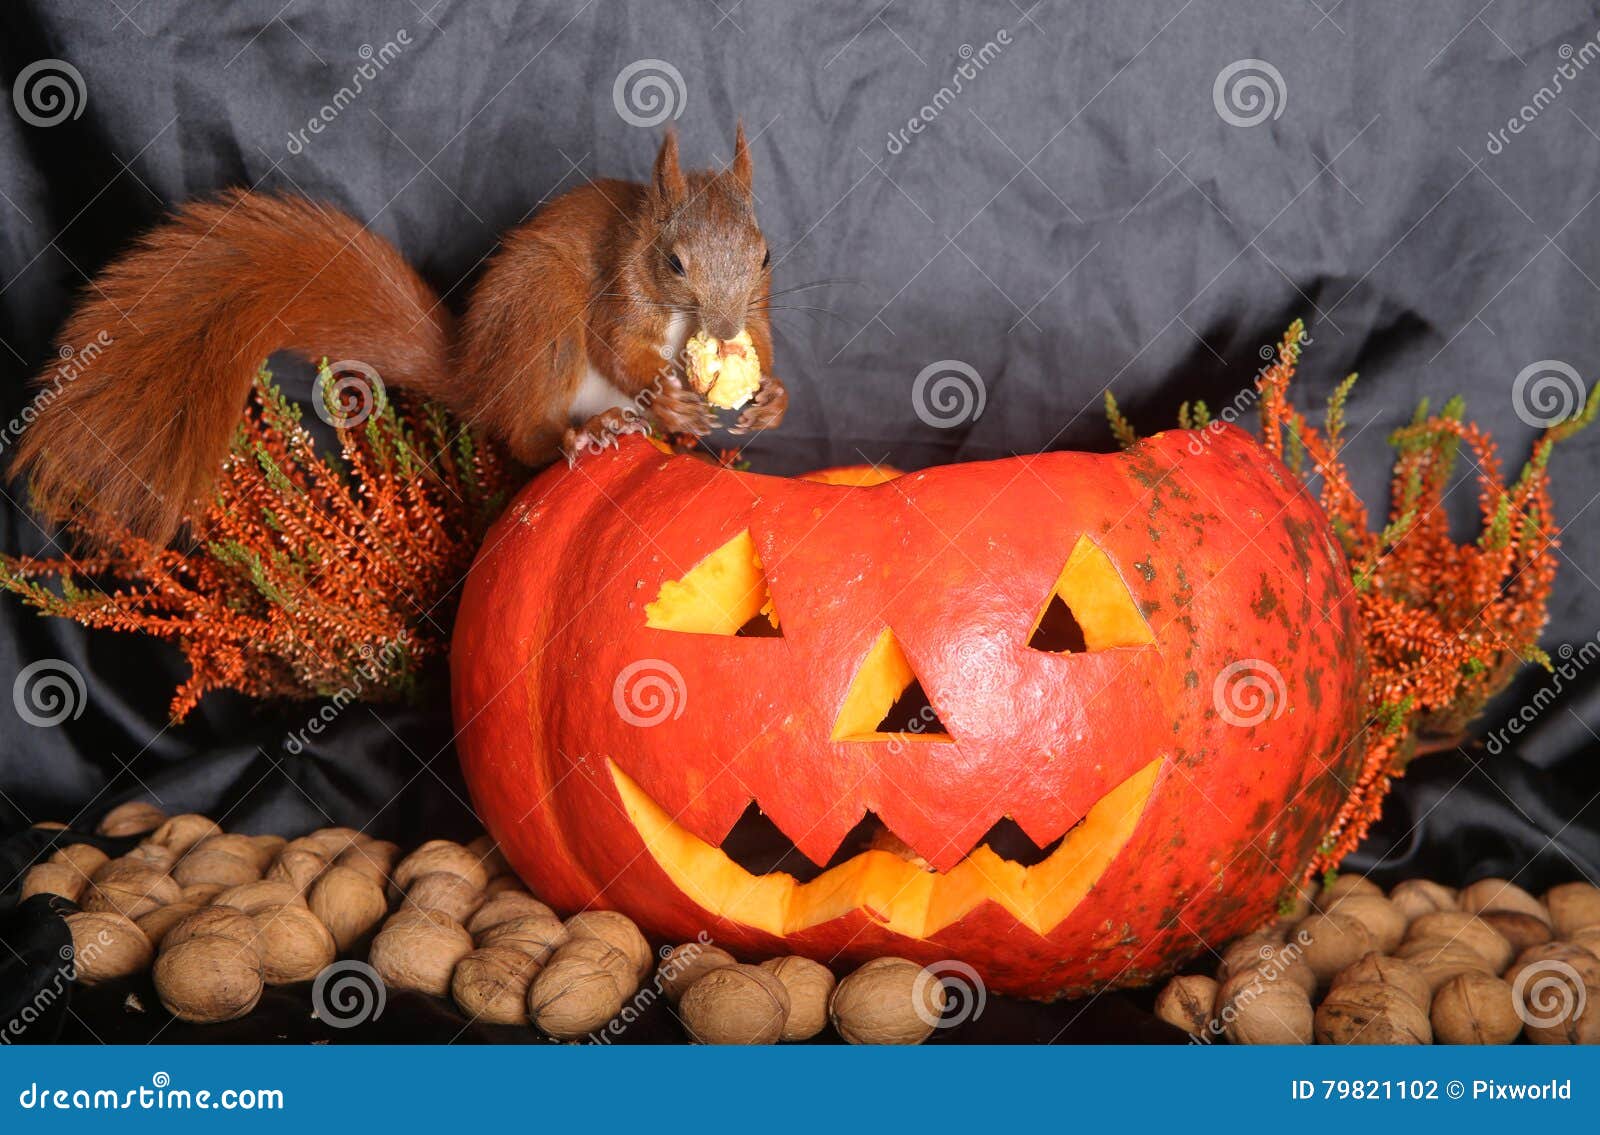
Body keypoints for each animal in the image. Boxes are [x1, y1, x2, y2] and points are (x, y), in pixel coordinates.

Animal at [11, 124, 786, 547]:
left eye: (766, 256)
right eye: (673, 262)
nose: (721, 328)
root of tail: (474, 375)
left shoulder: (757, 310)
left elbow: (765, 339)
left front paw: (770, 399)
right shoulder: (617, 291)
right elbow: (617, 348)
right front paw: (669, 396)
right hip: (541, 319)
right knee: (527, 435)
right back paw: (585, 434)